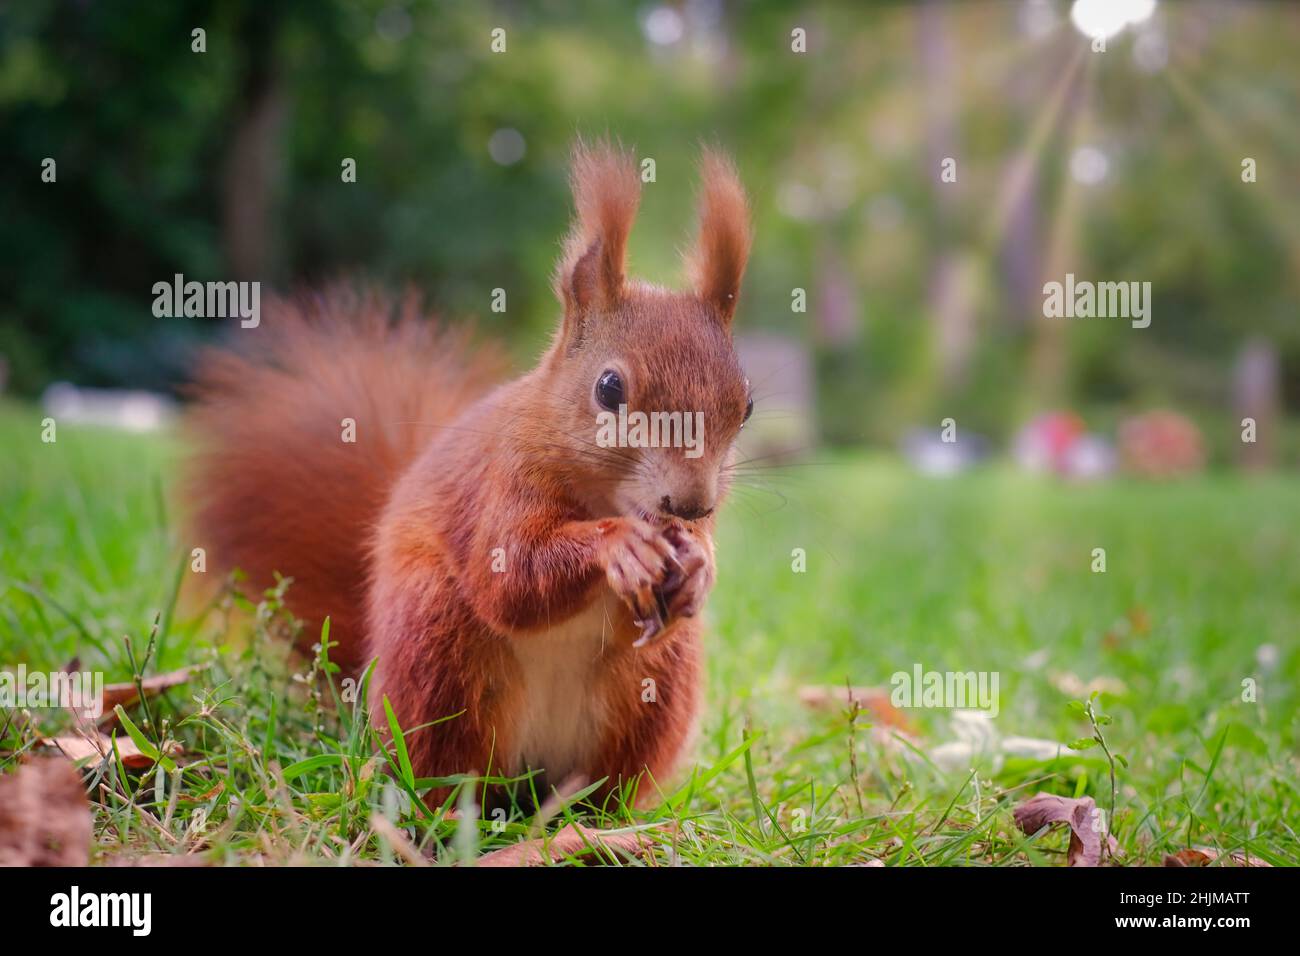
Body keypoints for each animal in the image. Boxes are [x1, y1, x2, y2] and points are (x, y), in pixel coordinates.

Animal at [187, 142, 753, 809]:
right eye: (610, 389)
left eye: (746, 405)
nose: (691, 504)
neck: (604, 497)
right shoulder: (499, 484)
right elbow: (509, 578)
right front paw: (622, 547)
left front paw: (699, 566)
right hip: (439, 647)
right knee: (446, 770)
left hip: (654, 692)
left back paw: (595, 817)